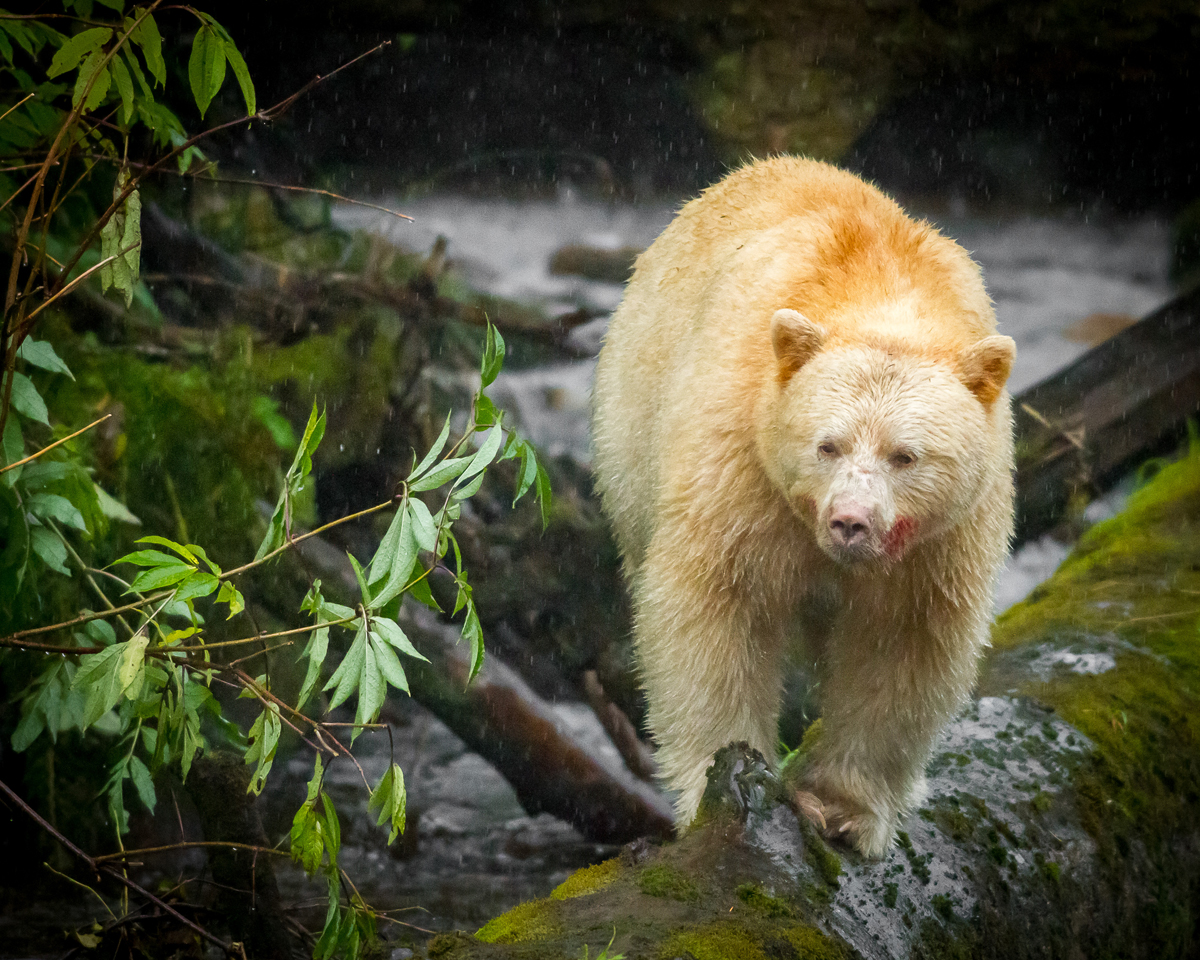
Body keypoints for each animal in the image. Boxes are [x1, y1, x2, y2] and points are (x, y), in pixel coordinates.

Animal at [591, 156, 1015, 857]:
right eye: (827, 444)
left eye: (905, 455)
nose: (851, 522)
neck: (883, 290)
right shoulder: (742, 456)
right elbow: (716, 604)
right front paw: (721, 784)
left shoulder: (942, 539)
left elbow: (902, 646)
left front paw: (847, 808)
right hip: (633, 427)